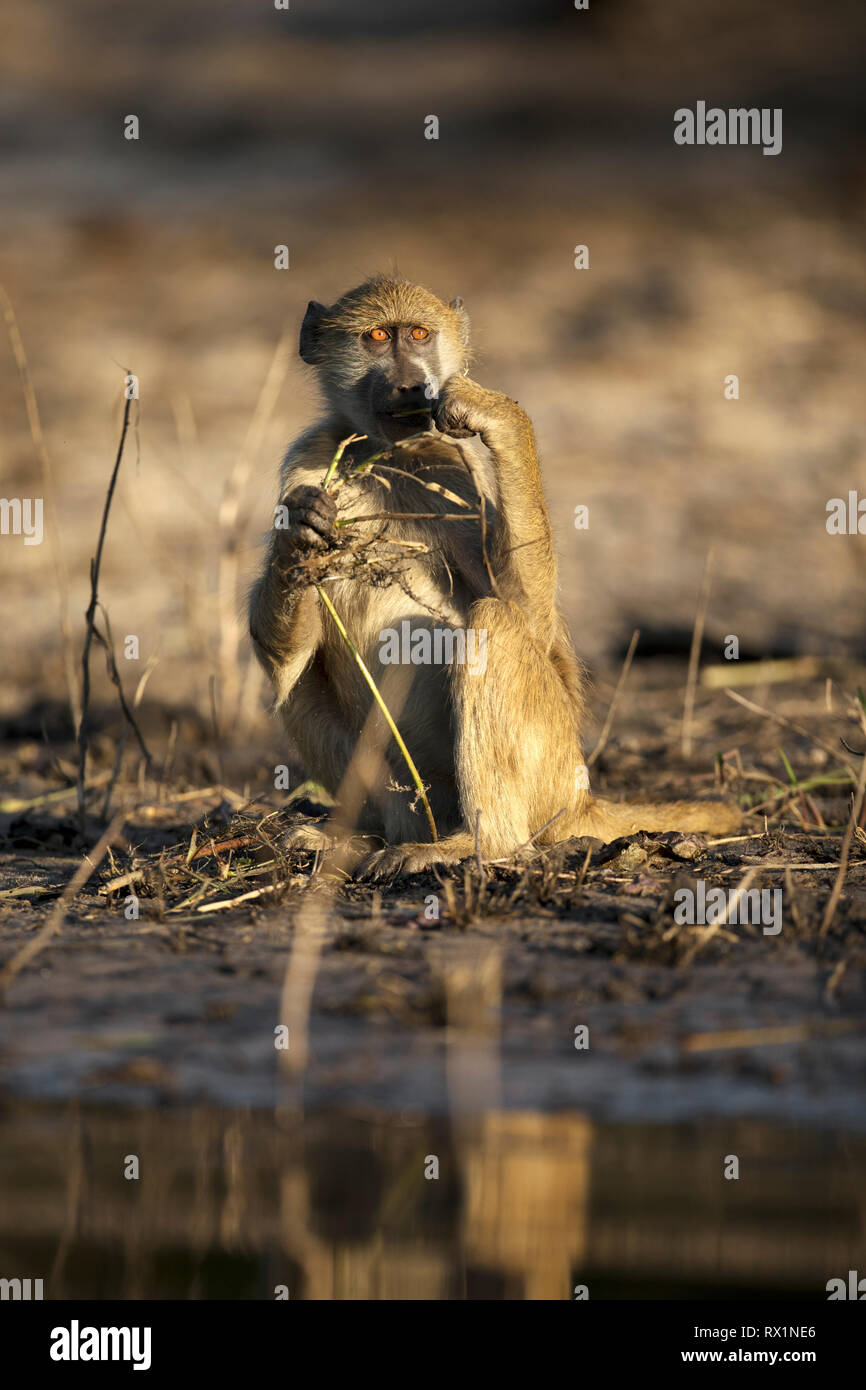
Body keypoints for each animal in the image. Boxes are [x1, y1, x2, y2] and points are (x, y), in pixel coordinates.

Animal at [248, 275, 739, 878]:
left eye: (419, 334)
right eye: (379, 337)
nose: (412, 385)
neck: (383, 456)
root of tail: (584, 797)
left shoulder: (457, 478)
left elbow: (531, 622)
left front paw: (496, 413)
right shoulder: (308, 461)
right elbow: (286, 656)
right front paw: (300, 533)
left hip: (553, 775)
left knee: (494, 624)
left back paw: (476, 847)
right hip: (421, 798)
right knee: (295, 684)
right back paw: (360, 841)